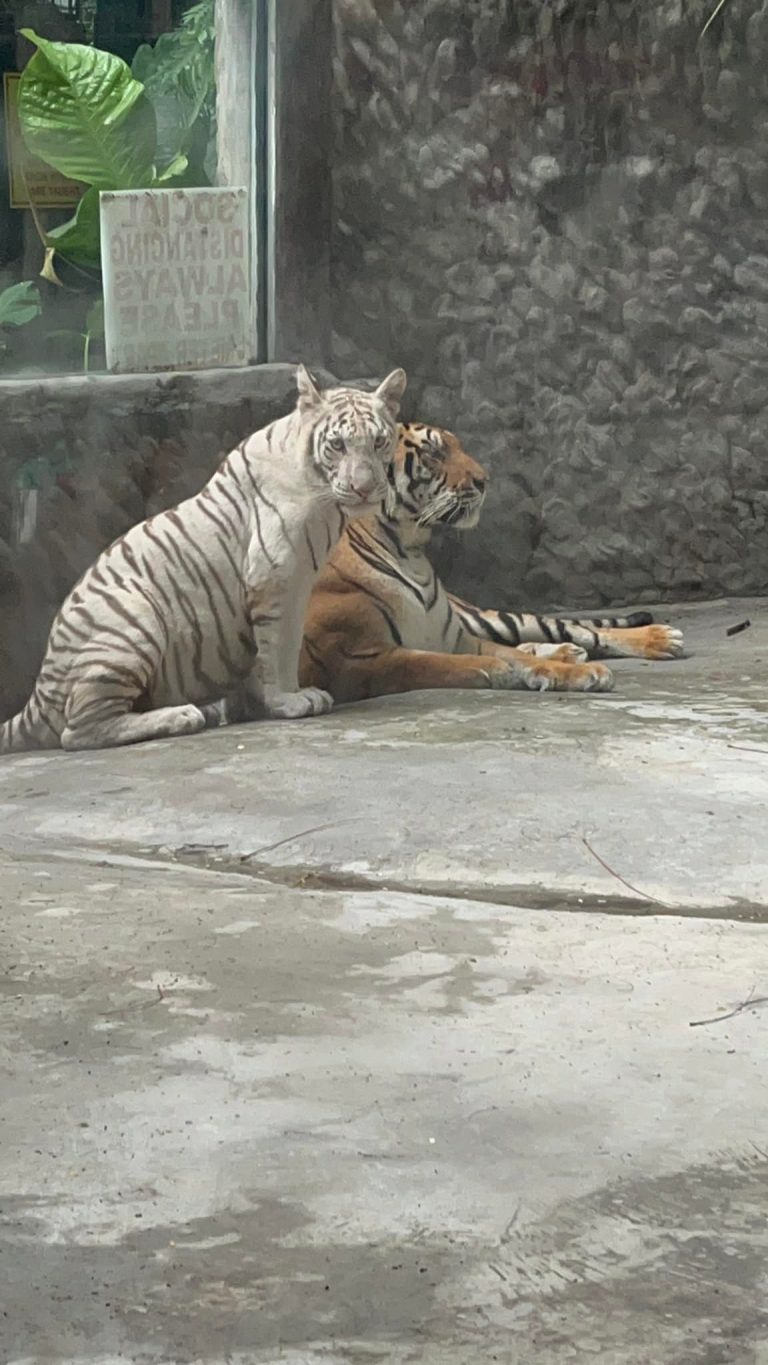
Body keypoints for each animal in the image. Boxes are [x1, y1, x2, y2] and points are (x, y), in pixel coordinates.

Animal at [0, 365, 407, 754]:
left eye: (379, 441)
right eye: (338, 445)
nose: (364, 488)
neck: (324, 498)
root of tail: (39, 692)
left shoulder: (297, 583)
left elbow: (286, 644)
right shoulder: (274, 580)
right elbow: (277, 647)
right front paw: (286, 702)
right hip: (133, 620)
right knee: (77, 732)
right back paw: (181, 716)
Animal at [299, 422, 684, 703]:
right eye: (433, 451)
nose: (484, 480)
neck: (409, 550)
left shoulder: (459, 637)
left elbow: (517, 656)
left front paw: (579, 673)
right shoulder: (353, 660)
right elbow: (429, 662)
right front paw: (498, 670)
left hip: (485, 618)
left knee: (572, 628)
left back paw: (656, 638)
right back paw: (568, 653)